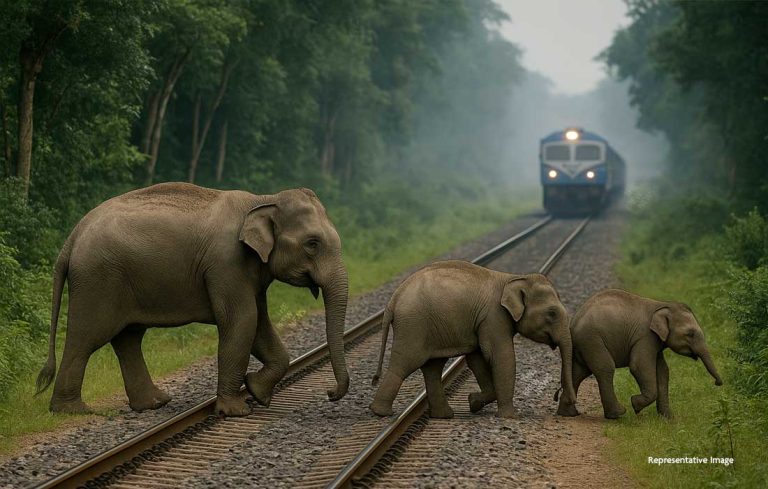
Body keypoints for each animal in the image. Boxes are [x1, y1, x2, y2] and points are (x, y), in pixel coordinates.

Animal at [35, 182, 350, 417]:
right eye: (312, 244)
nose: (330, 393)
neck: (263, 199)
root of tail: (73, 235)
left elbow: (258, 323)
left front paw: (257, 392)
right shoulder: (226, 263)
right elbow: (242, 321)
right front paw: (236, 411)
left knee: (128, 338)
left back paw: (155, 403)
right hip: (98, 279)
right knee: (87, 337)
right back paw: (72, 410)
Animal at [369, 260, 575, 418]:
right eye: (552, 313)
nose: (563, 399)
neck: (513, 278)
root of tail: (393, 300)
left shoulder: (484, 322)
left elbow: (477, 358)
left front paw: (473, 402)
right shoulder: (493, 317)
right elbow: (500, 356)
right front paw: (510, 417)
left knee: (433, 368)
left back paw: (444, 416)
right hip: (414, 325)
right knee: (405, 363)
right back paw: (380, 412)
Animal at [556, 289, 723, 419]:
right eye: (690, 334)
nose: (718, 383)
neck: (661, 305)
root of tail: (572, 323)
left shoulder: (655, 342)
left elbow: (663, 371)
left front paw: (668, 418)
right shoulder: (645, 337)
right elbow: (639, 366)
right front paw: (635, 405)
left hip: (585, 345)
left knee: (578, 372)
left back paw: (568, 414)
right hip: (592, 340)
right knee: (605, 368)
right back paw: (618, 414)